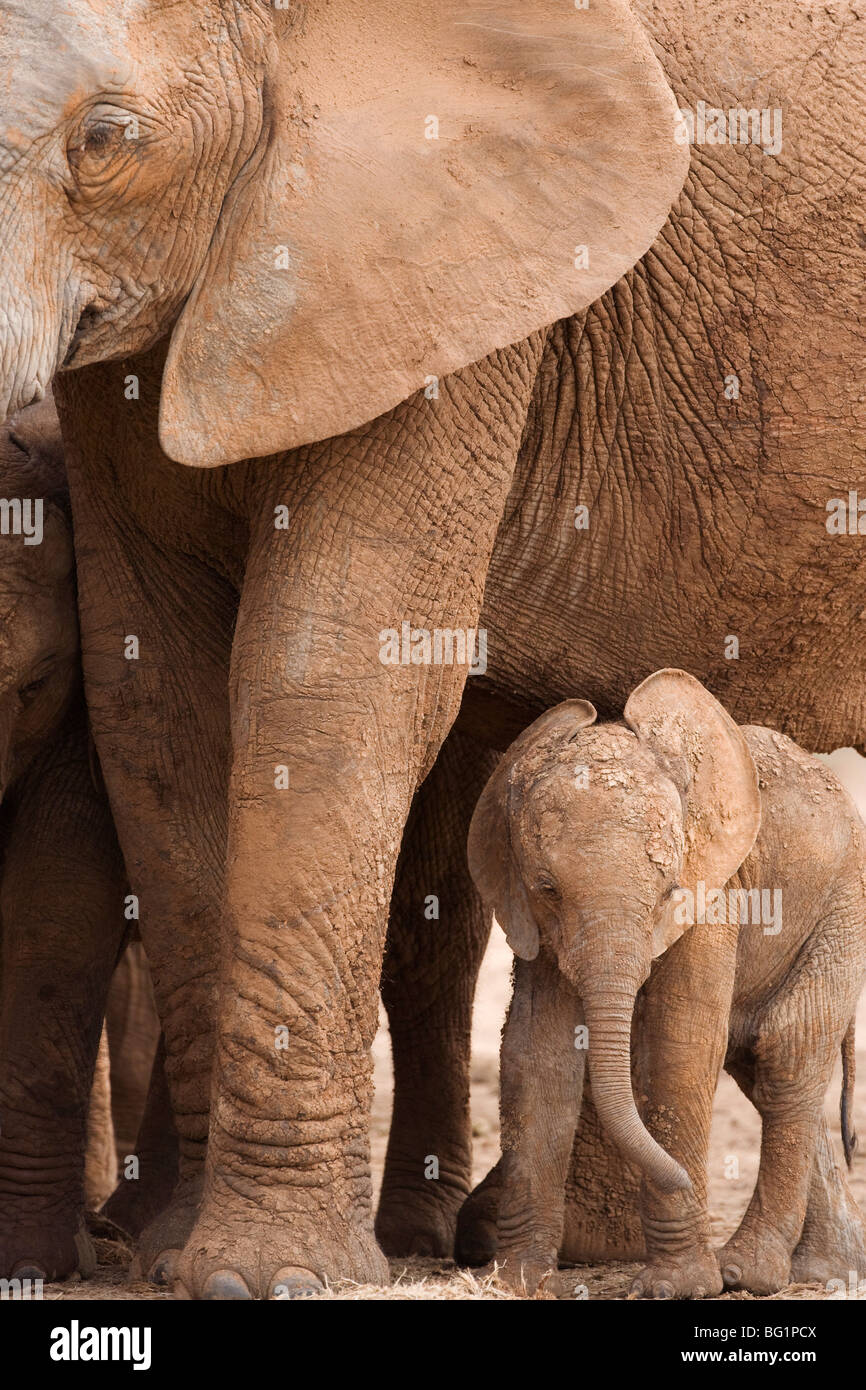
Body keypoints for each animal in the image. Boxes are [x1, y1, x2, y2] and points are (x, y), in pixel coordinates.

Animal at [466, 671, 866, 1297]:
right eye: (547, 888)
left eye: (667, 890)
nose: (681, 1180)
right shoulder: (535, 924)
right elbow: (538, 1053)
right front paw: (519, 1282)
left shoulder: (716, 894)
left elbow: (681, 1042)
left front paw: (676, 1286)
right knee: (756, 1059)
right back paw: (817, 1269)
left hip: (843, 903)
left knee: (786, 1050)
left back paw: (748, 1272)